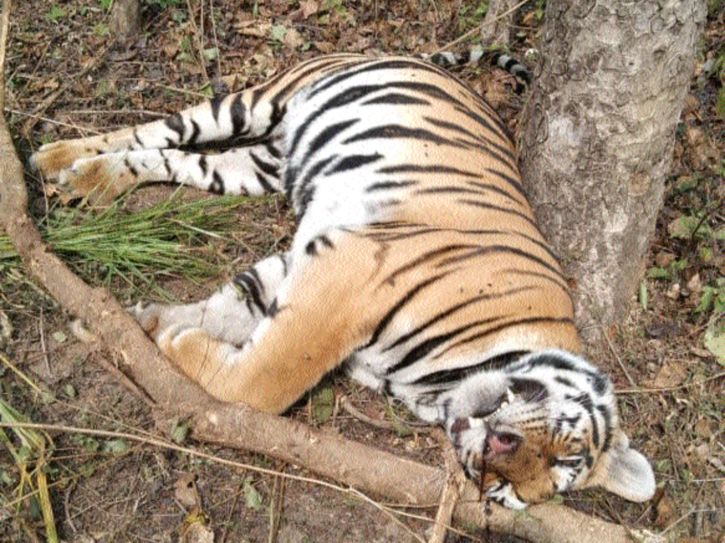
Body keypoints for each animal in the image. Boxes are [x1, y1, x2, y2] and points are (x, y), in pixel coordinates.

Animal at [30, 51, 655, 509]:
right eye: (563, 452)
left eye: (505, 491)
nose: (496, 452)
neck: (434, 387)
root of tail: (423, 59)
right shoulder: (351, 278)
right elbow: (262, 382)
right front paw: (167, 337)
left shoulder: (316, 259)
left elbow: (232, 309)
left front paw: (149, 324)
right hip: (259, 103)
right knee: (160, 126)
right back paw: (56, 157)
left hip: (256, 166)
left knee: (171, 158)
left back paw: (88, 177)